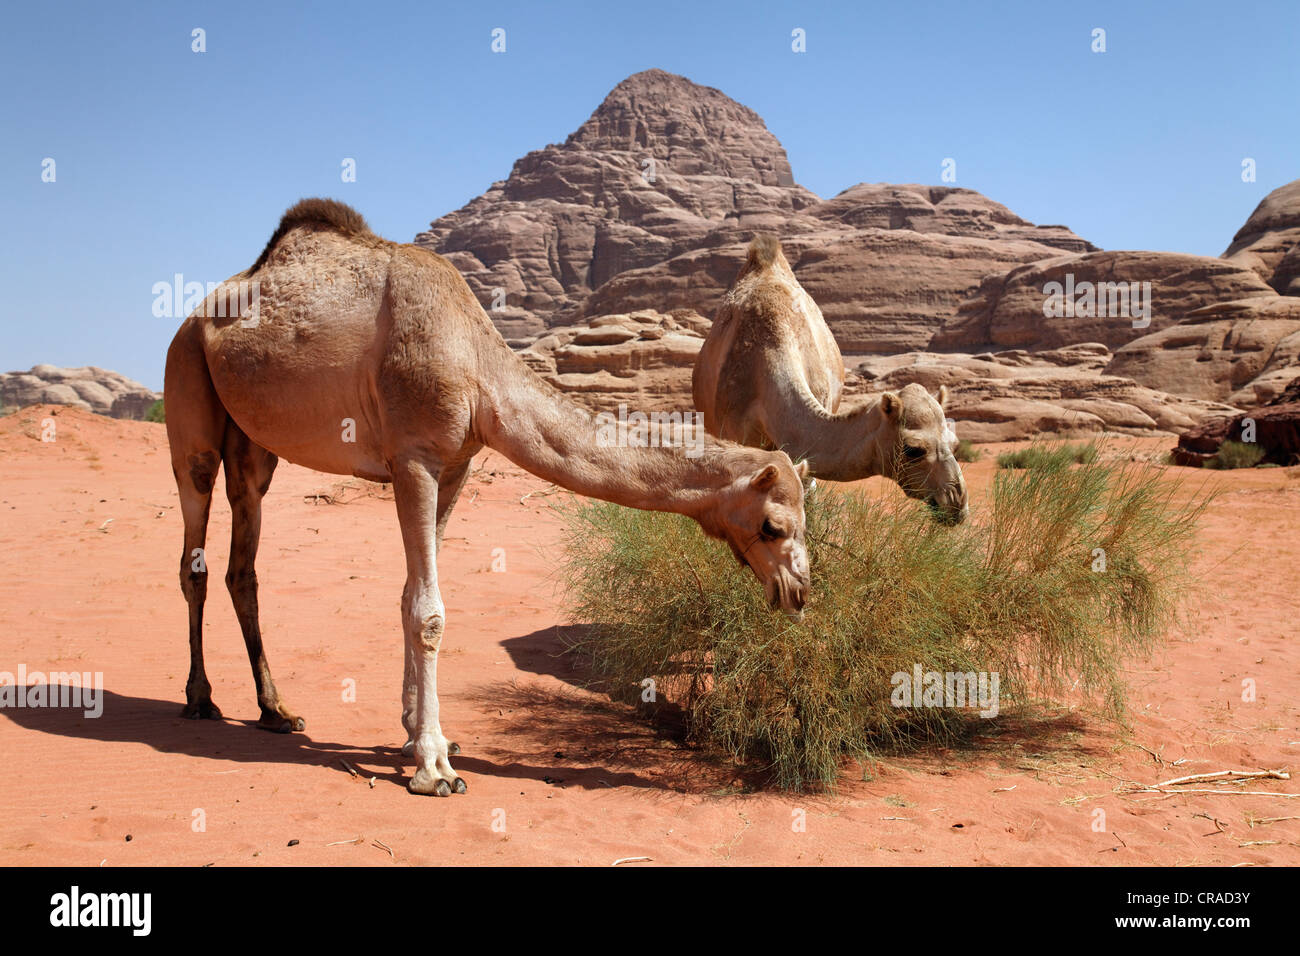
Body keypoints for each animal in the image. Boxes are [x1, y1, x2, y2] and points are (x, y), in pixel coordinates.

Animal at [164, 199, 810, 796]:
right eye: (774, 526)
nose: (799, 592)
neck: (478, 370)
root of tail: (198, 315)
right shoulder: (413, 457)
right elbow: (428, 612)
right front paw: (434, 767)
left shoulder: (455, 466)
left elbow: (408, 597)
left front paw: (417, 736)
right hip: (186, 383)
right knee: (194, 542)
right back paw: (199, 698)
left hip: (253, 443)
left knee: (243, 559)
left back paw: (275, 710)